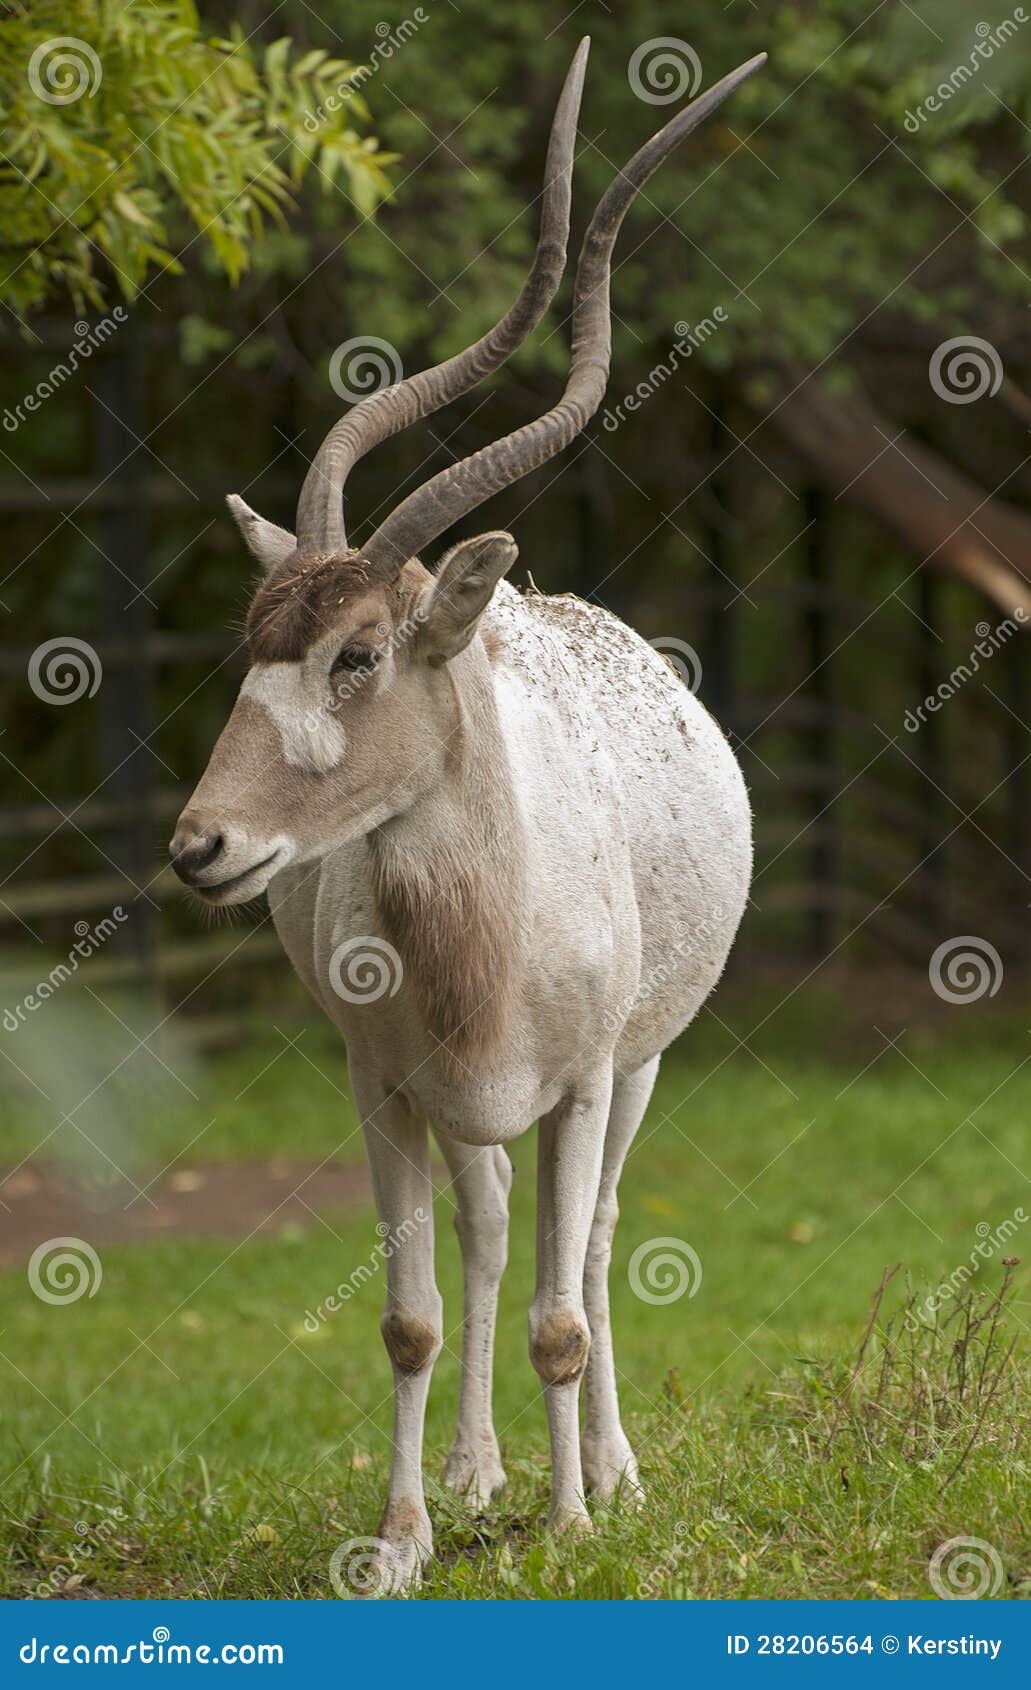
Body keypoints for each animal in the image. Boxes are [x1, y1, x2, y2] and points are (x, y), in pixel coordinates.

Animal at [171, 41, 762, 1591]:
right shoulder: (380, 1089)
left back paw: (604, 1469)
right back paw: (476, 1466)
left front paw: (570, 1525)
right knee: (490, 1235)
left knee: (592, 1242)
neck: (486, 914)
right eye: (252, 648)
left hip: (632, 1071)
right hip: (464, 1108)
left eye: (358, 653)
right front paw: (401, 1539)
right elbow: (411, 1313)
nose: (200, 846)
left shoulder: (579, 1084)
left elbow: (563, 1304)